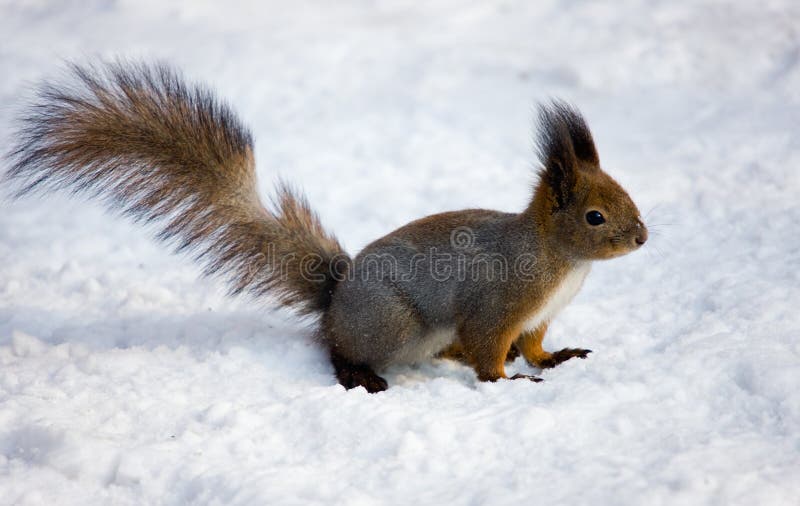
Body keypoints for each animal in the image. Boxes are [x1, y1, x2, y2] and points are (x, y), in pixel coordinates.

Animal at [4, 61, 647, 393]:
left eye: (626, 194)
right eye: (594, 217)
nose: (643, 237)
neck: (560, 259)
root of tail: (335, 303)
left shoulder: (536, 315)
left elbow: (533, 346)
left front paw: (553, 359)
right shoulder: (499, 302)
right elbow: (490, 348)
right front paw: (506, 381)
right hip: (390, 324)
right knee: (338, 351)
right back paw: (360, 375)